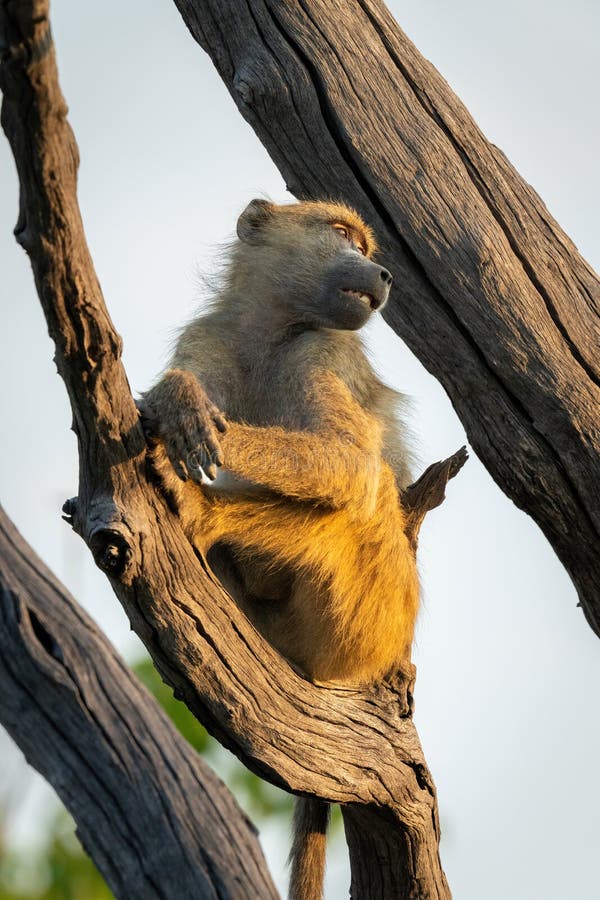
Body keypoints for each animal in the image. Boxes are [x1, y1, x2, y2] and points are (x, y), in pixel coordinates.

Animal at [139, 199, 419, 900]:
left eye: (365, 245)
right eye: (343, 235)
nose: (382, 273)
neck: (271, 330)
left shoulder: (321, 349)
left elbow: (348, 464)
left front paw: (175, 412)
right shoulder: (210, 336)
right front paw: (179, 398)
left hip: (364, 622)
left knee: (363, 494)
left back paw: (199, 512)